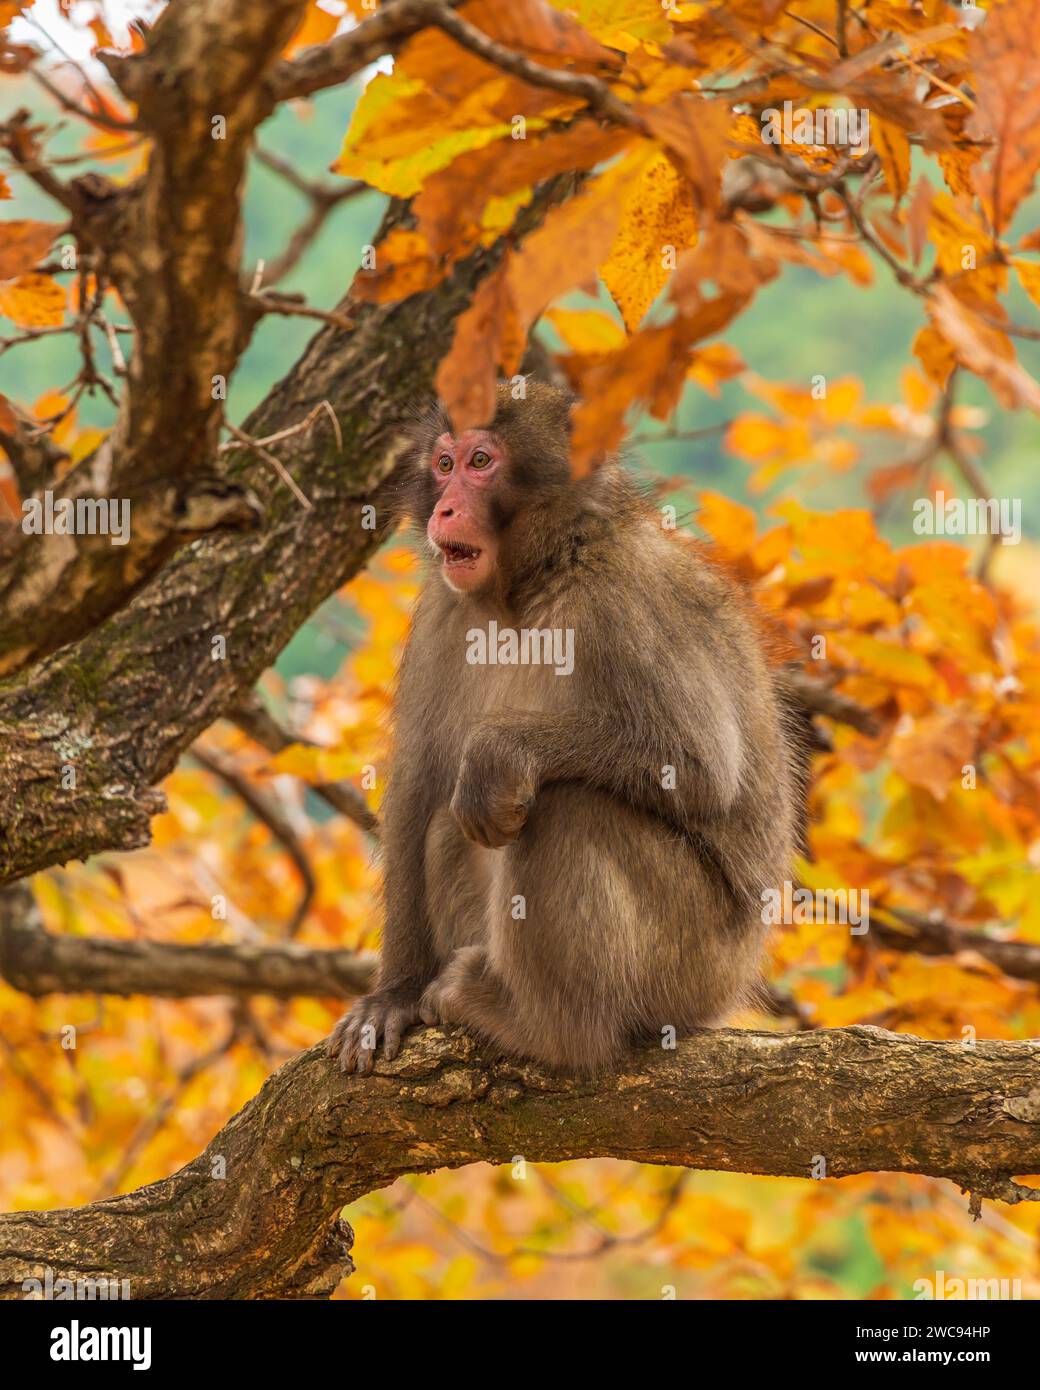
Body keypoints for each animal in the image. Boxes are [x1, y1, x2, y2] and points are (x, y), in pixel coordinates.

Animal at [328, 380, 799, 1076]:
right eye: (443, 464)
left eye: (480, 462)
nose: (445, 509)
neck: (533, 582)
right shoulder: (443, 613)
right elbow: (418, 789)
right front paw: (394, 994)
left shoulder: (626, 599)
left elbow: (699, 764)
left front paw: (499, 751)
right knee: (451, 824)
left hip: (695, 963)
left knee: (566, 808)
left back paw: (545, 1028)